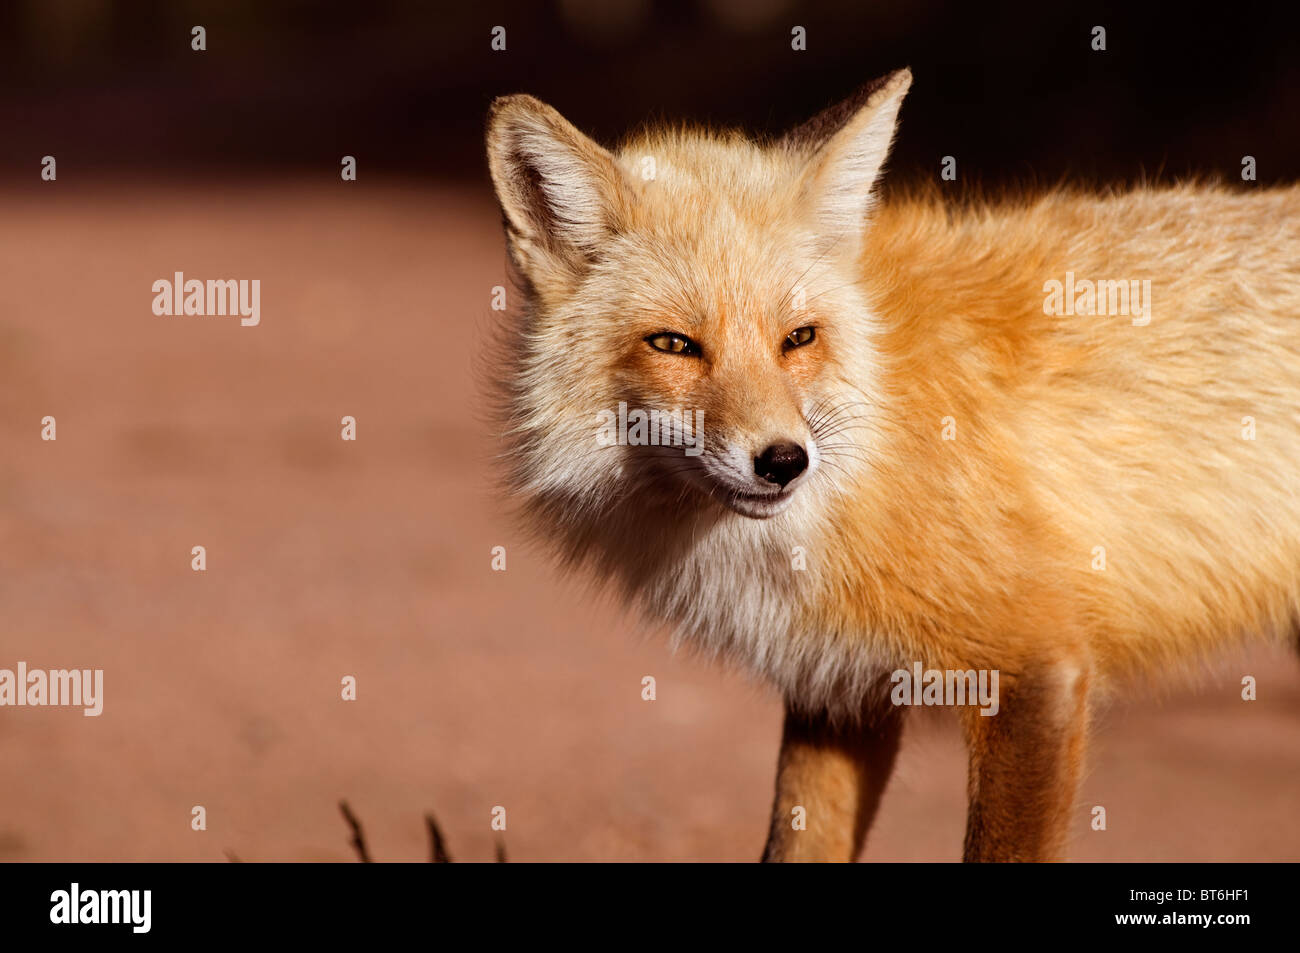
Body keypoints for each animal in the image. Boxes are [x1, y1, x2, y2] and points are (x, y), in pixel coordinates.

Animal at [484, 69, 1300, 862]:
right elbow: (794, 844)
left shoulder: (1036, 667)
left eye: (799, 337)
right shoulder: (836, 687)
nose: (784, 462)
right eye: (674, 345)